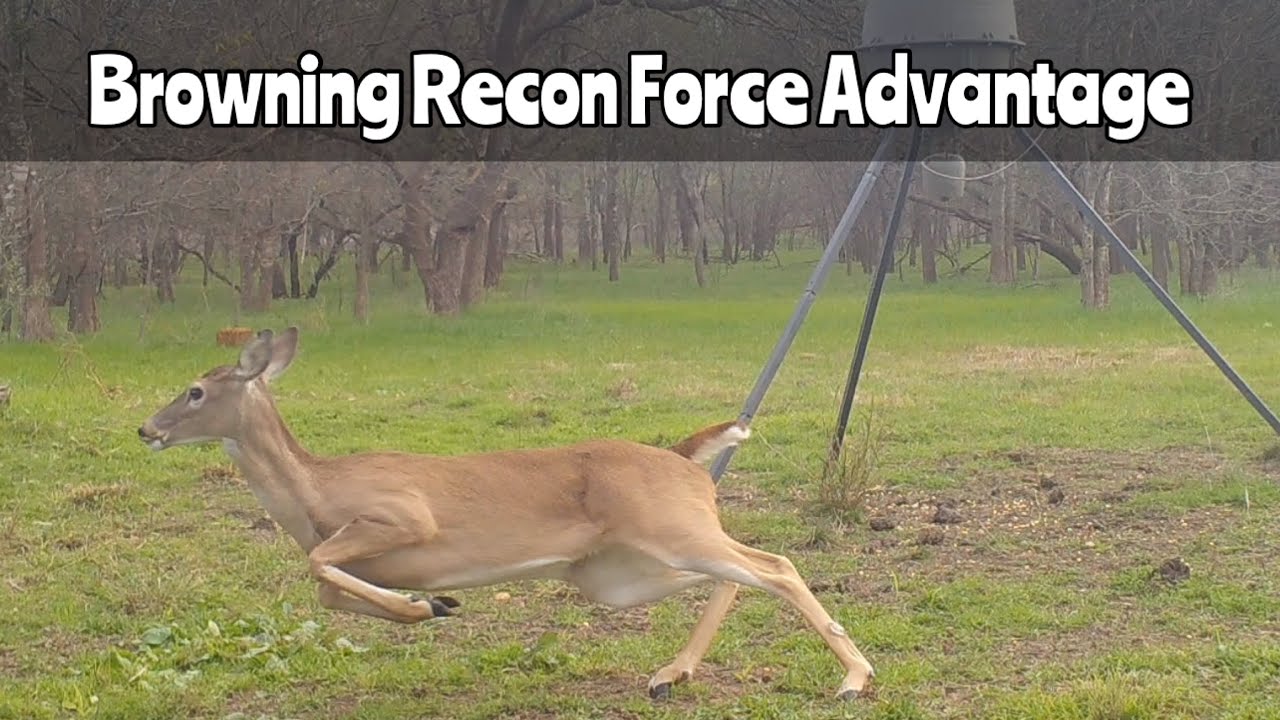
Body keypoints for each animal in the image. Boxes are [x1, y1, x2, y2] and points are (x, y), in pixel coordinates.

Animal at [137, 327, 876, 701]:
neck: (316, 490)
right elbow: (327, 587)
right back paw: (671, 673)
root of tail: (687, 460)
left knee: (775, 565)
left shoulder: (403, 515)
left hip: (668, 530)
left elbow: (319, 564)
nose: (146, 430)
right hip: (618, 574)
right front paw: (431, 605)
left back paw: (854, 679)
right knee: (738, 575)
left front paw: (425, 605)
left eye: (195, 390)